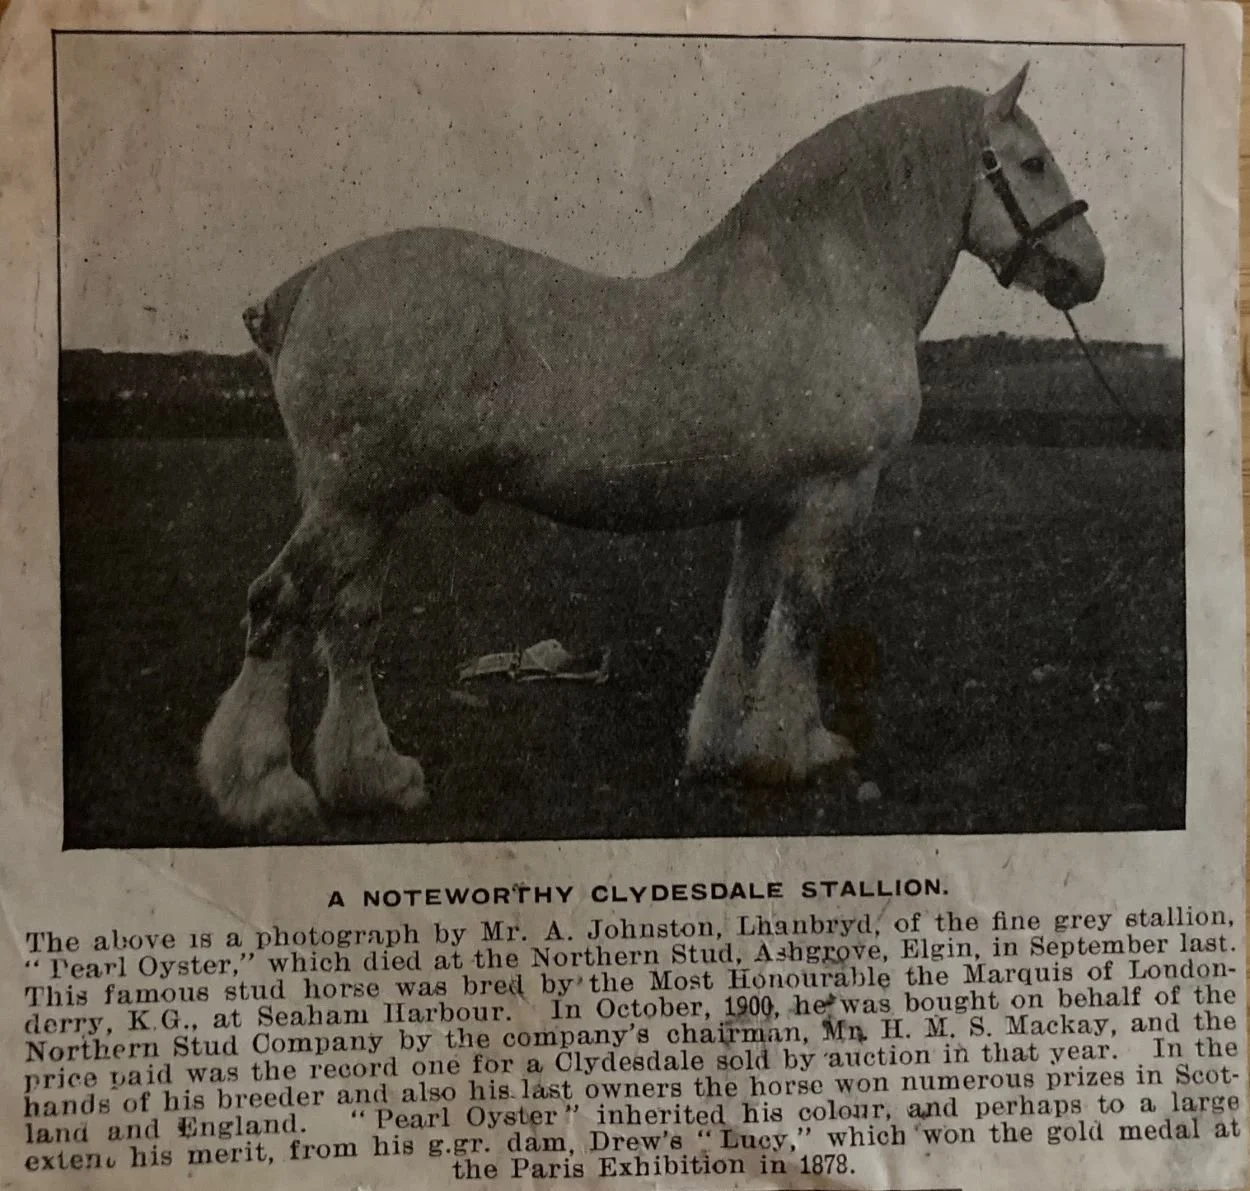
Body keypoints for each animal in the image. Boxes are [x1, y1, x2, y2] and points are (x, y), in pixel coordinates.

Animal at [198, 63, 1105, 837]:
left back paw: (375, 777)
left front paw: (722, 743)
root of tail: (302, 288)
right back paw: (265, 789)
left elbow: (747, 612)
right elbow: (802, 616)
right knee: (278, 607)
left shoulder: (768, 504)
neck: (821, 285)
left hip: (371, 507)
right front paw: (796, 749)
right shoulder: (835, 494)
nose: (1088, 273)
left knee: (347, 625)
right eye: (1032, 162)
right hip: (352, 504)